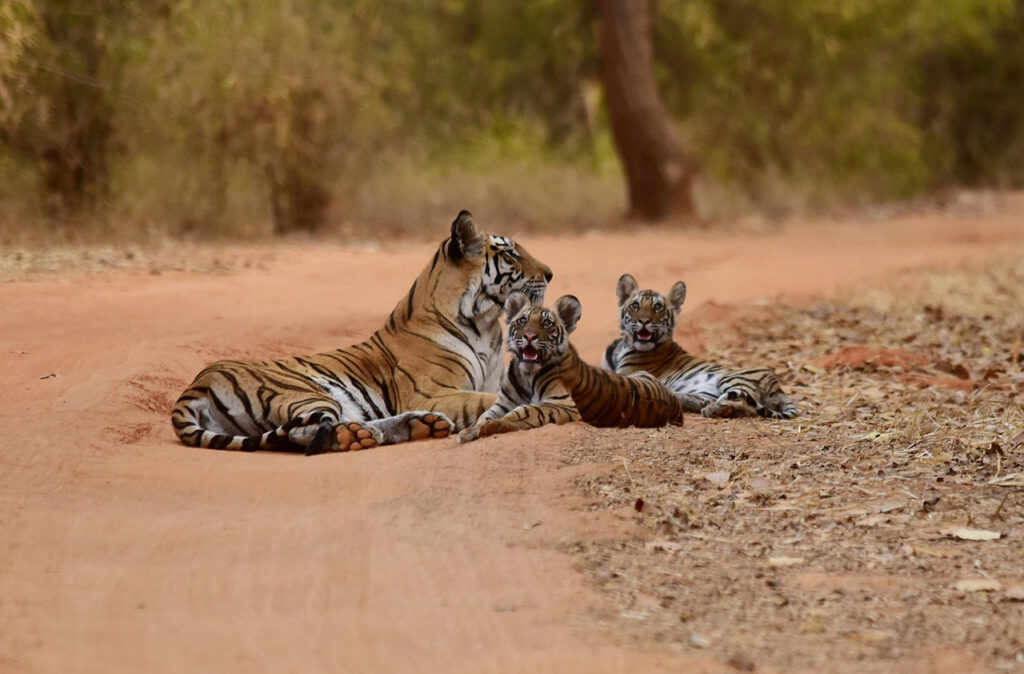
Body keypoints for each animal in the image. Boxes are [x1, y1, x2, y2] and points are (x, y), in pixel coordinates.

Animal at [171, 210, 553, 455]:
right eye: (511, 254)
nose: (550, 273)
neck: (486, 324)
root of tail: (195, 386)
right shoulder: (433, 393)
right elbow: (486, 400)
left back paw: (420, 426)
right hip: (303, 393)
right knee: (303, 433)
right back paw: (361, 436)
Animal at [457, 291, 684, 443]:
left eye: (547, 323)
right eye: (522, 320)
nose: (529, 336)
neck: (526, 374)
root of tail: (674, 402)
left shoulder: (562, 404)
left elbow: (525, 411)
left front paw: (489, 427)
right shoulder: (503, 403)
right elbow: (484, 415)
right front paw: (470, 431)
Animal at [601, 274, 798, 419]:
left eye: (658, 307)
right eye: (635, 305)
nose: (644, 320)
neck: (623, 346)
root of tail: (777, 386)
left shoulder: (626, 373)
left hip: (731, 378)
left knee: (743, 403)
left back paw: (715, 409)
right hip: (706, 392)